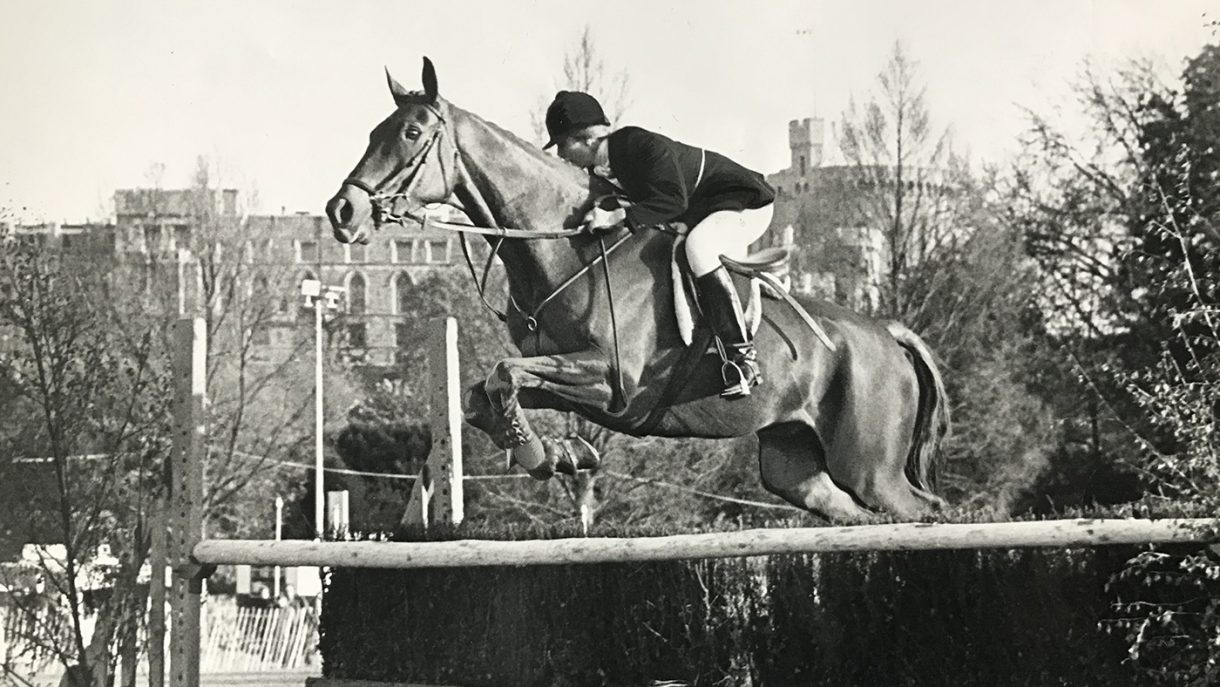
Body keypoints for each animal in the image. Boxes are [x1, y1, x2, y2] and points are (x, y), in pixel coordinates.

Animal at [324, 58, 949, 522]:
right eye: (373, 132)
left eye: (410, 133)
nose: (341, 211)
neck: (566, 247)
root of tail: (887, 335)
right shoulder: (565, 377)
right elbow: (487, 393)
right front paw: (560, 455)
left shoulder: (610, 378)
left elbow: (504, 375)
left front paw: (553, 453)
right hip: (797, 464)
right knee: (850, 510)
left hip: (869, 464)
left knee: (923, 508)